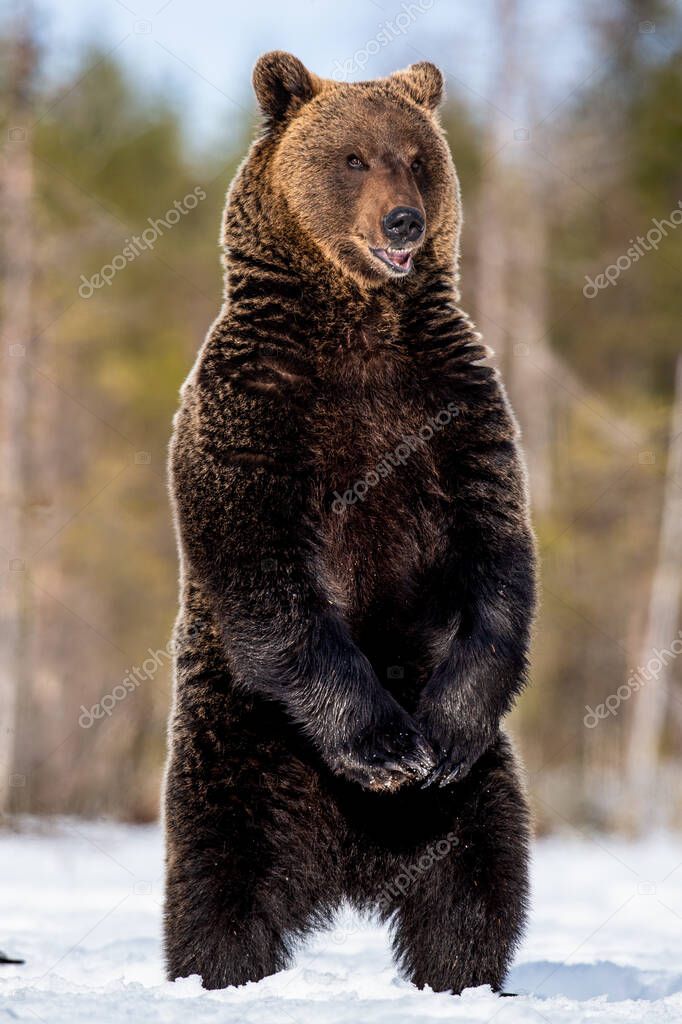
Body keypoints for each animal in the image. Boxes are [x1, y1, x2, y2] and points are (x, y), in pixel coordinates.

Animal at [163, 51, 537, 996]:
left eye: (416, 156)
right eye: (354, 159)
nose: (404, 219)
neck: (359, 323)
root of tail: (349, 869)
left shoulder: (454, 405)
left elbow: (497, 556)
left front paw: (434, 741)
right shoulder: (256, 406)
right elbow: (261, 564)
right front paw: (385, 745)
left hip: (474, 799)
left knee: (478, 886)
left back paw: (464, 977)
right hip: (239, 754)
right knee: (219, 888)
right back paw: (220, 973)